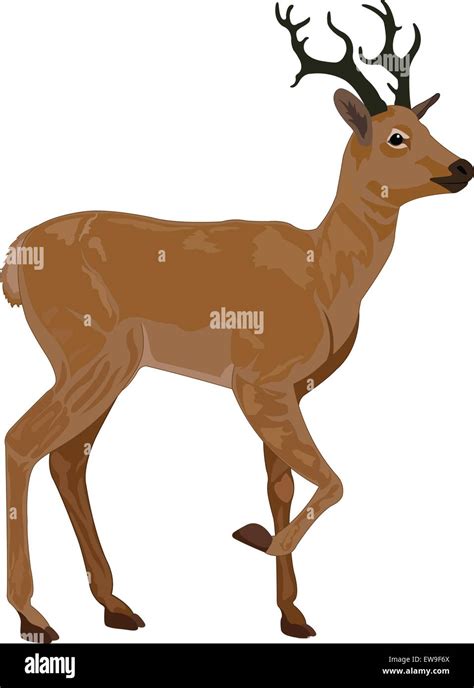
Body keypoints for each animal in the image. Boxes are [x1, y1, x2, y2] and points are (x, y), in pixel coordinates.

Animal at [1, 0, 472, 643]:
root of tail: (13, 260)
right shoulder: (259, 382)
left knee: (68, 459)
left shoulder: (291, 390)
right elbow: (333, 481)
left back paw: (115, 604)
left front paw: (293, 615)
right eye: (397, 136)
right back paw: (35, 616)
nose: (462, 167)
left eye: (424, 125)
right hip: (92, 352)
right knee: (23, 441)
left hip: (99, 366)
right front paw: (256, 540)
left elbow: (284, 486)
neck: (323, 273)